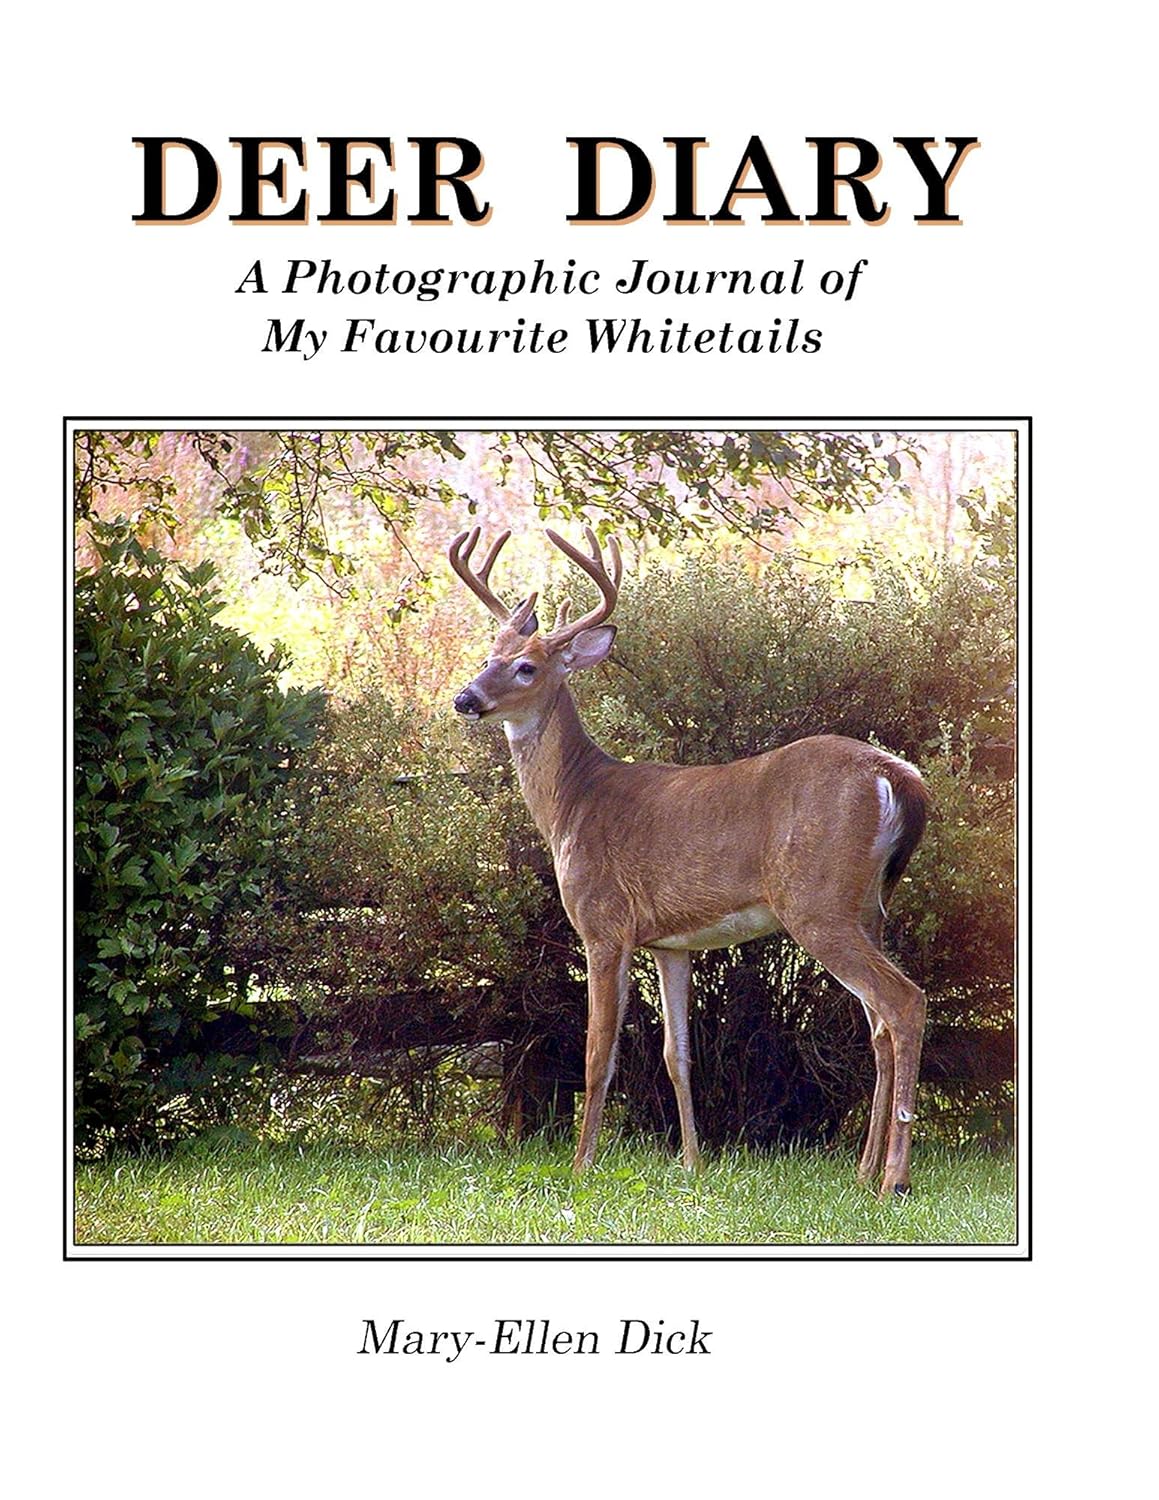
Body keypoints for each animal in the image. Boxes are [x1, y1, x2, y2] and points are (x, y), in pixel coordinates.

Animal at [449, 524, 929, 1196]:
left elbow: (598, 1054)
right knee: (879, 1024)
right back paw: (862, 1173)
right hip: (869, 904)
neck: (574, 802)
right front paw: (693, 1163)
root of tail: (896, 776)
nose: (466, 698)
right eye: (488, 654)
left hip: (818, 902)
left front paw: (582, 1164)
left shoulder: (604, 923)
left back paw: (893, 1179)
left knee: (904, 1004)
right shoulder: (669, 943)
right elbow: (678, 1055)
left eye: (526, 667)